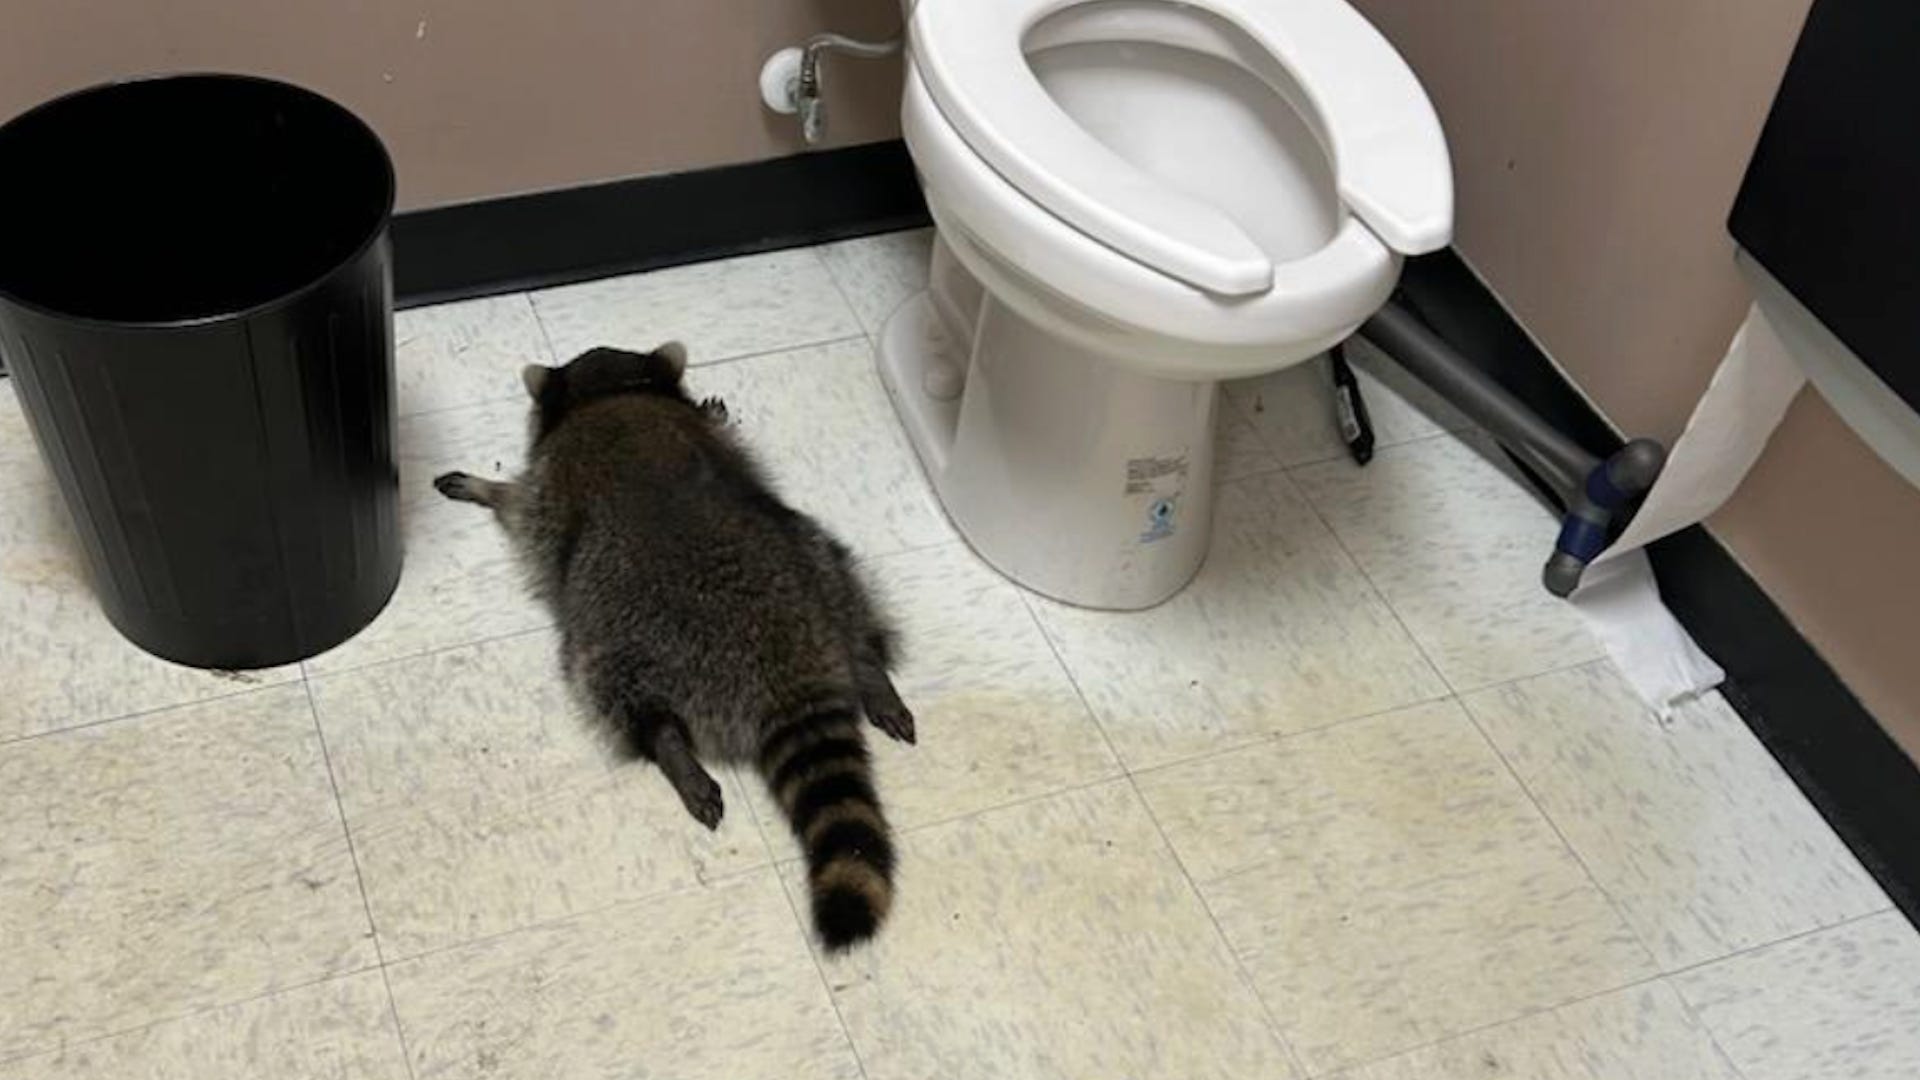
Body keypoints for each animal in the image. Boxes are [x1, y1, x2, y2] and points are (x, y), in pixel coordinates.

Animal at [432, 344, 915, 951]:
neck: (613, 392)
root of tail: (787, 665)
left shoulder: (549, 486)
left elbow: (520, 504)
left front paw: (486, 488)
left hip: (621, 633)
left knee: (612, 687)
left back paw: (668, 746)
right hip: (818, 560)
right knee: (847, 591)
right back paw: (870, 668)